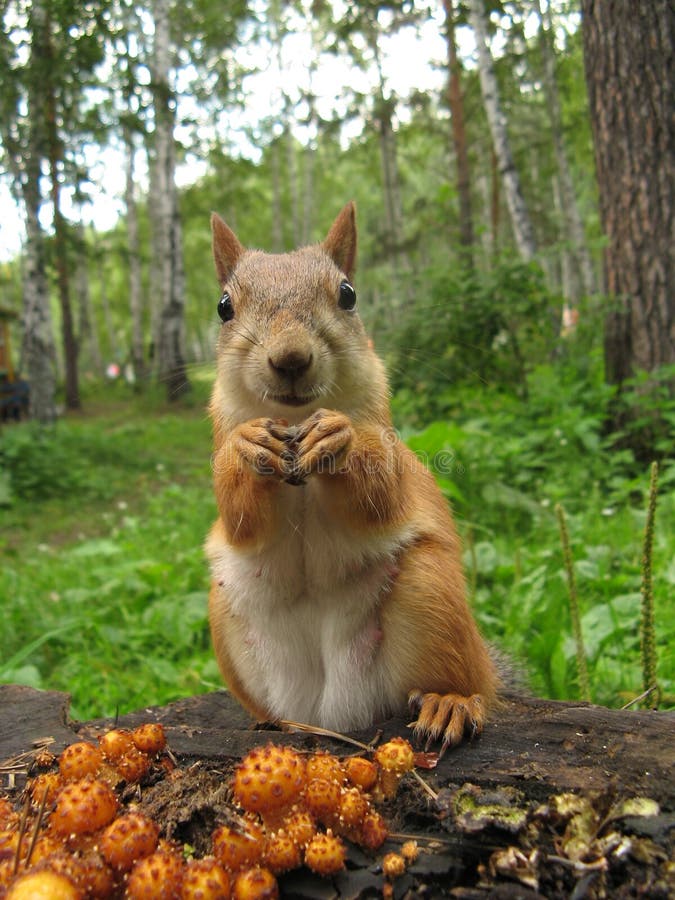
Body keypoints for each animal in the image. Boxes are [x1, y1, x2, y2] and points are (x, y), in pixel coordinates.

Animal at [205, 202, 499, 752]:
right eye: (223, 306)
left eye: (348, 294)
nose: (290, 358)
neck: (295, 419)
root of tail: (332, 711)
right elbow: (240, 520)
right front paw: (247, 447)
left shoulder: (387, 444)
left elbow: (379, 494)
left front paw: (339, 439)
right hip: (224, 613)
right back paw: (272, 722)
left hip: (430, 594)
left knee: (468, 683)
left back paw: (449, 702)